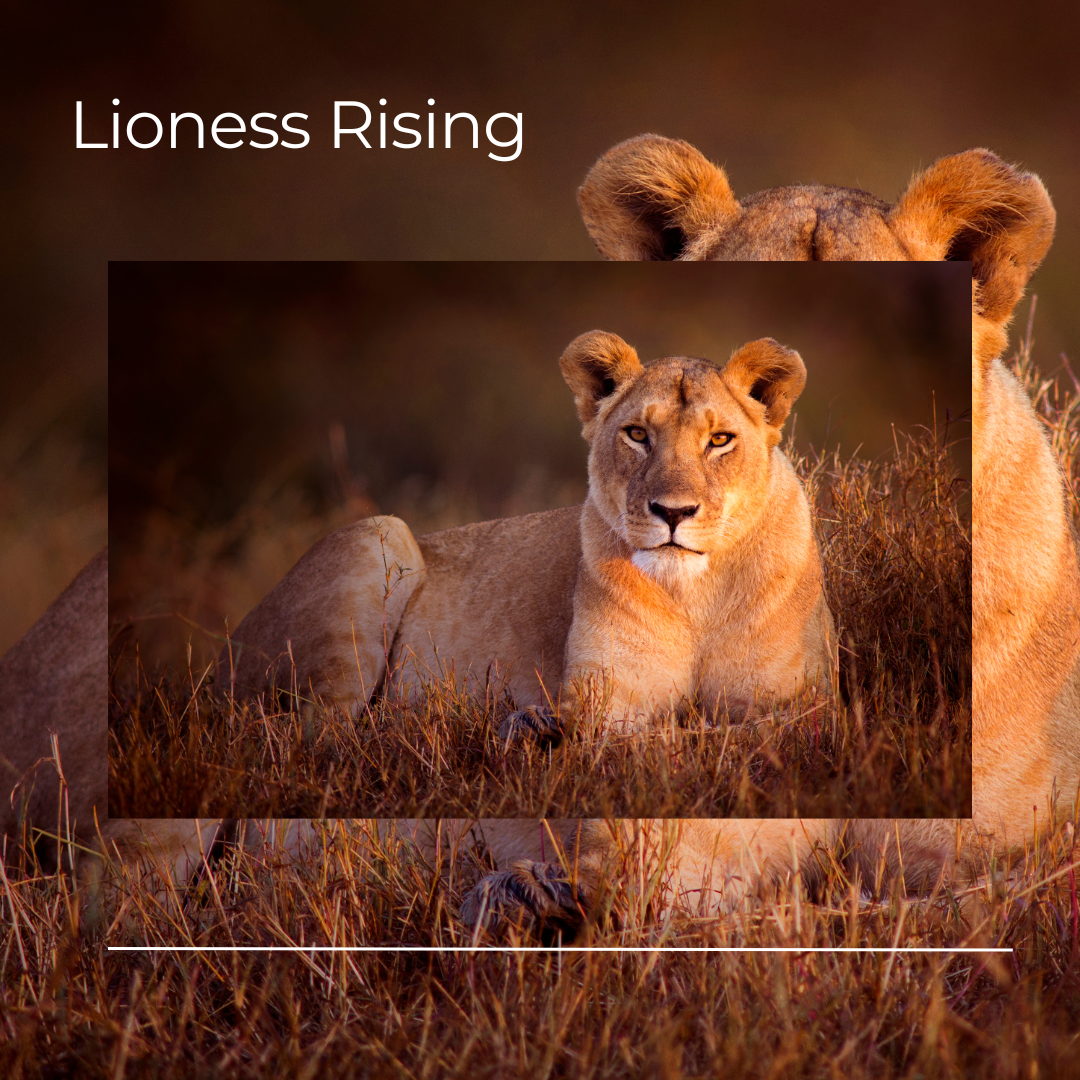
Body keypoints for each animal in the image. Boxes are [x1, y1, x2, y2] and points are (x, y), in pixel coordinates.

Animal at [221, 332, 834, 741]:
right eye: (637, 434)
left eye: (720, 440)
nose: (673, 512)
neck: (695, 596)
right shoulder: (604, 700)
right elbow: (647, 738)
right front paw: (537, 725)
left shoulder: (804, 704)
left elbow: (744, 732)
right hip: (378, 534)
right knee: (316, 738)